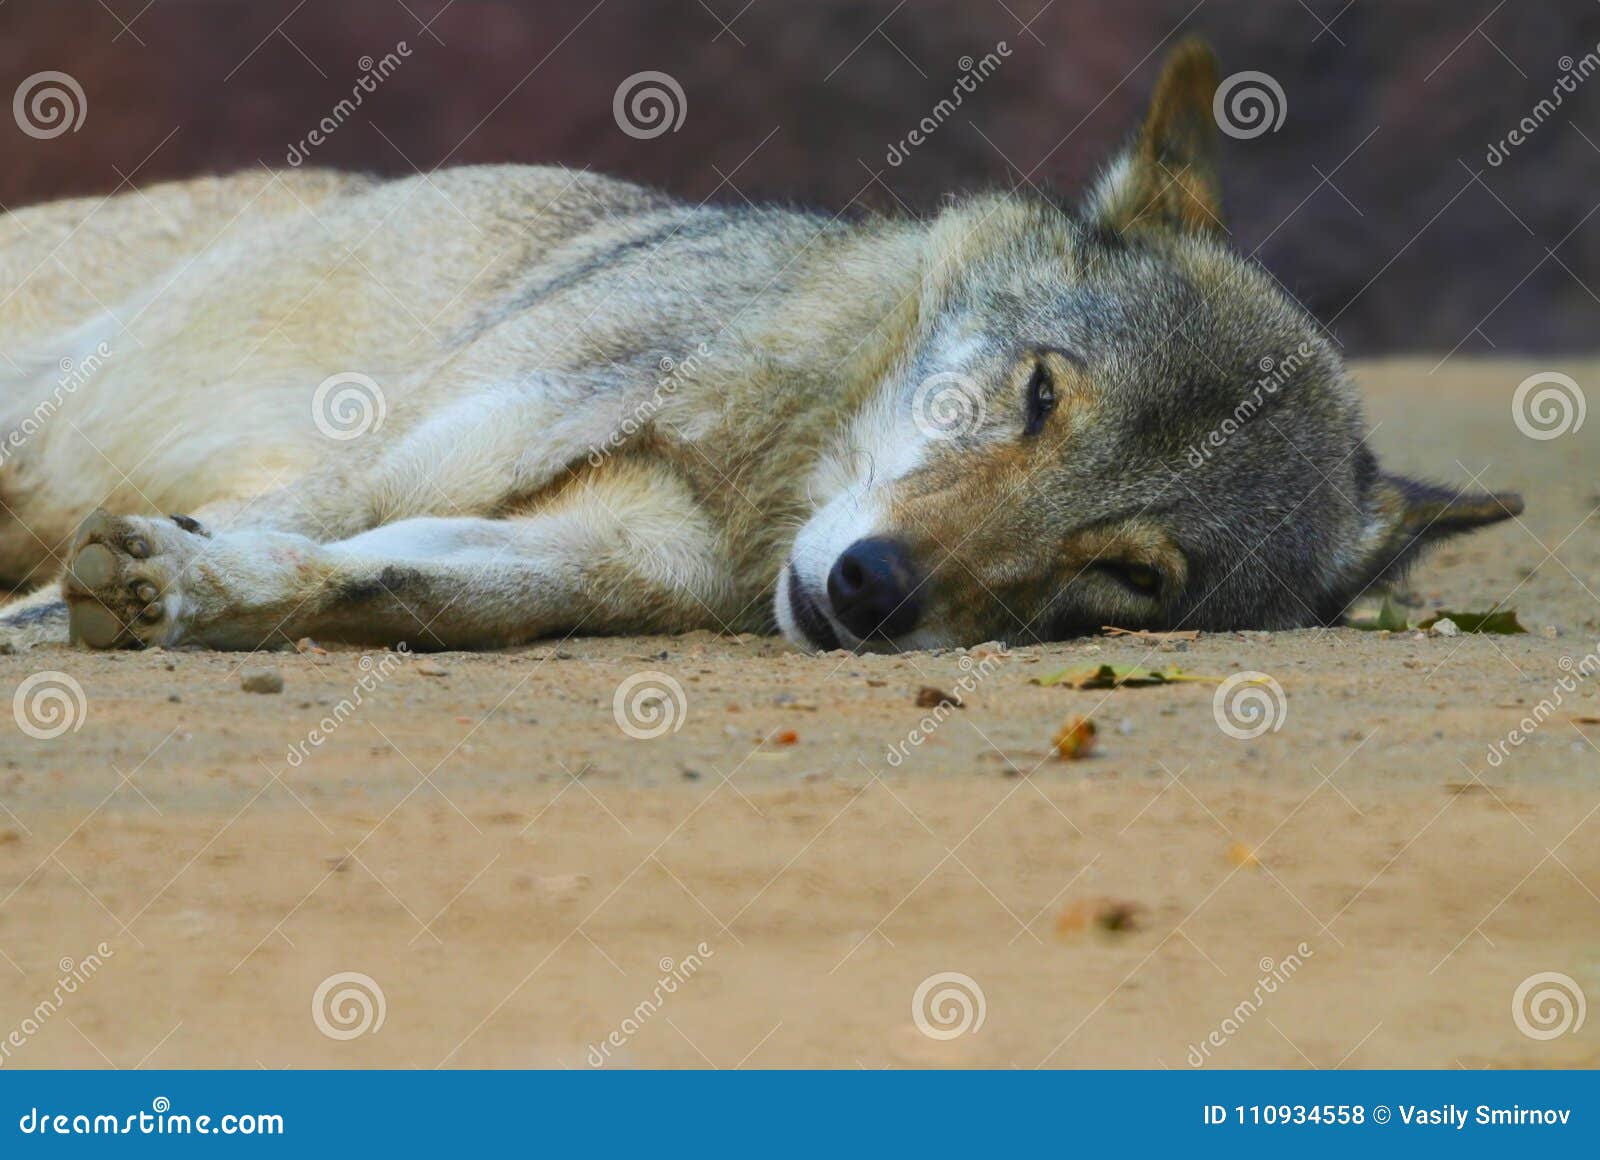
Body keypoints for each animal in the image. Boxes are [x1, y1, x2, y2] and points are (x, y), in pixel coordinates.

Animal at [0, 41, 1519, 655]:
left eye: (1134, 575)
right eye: (1040, 396)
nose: (871, 592)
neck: (753, 476)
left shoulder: (581, 564)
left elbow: (355, 575)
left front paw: (173, 590)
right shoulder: (396, 449)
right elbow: (308, 518)